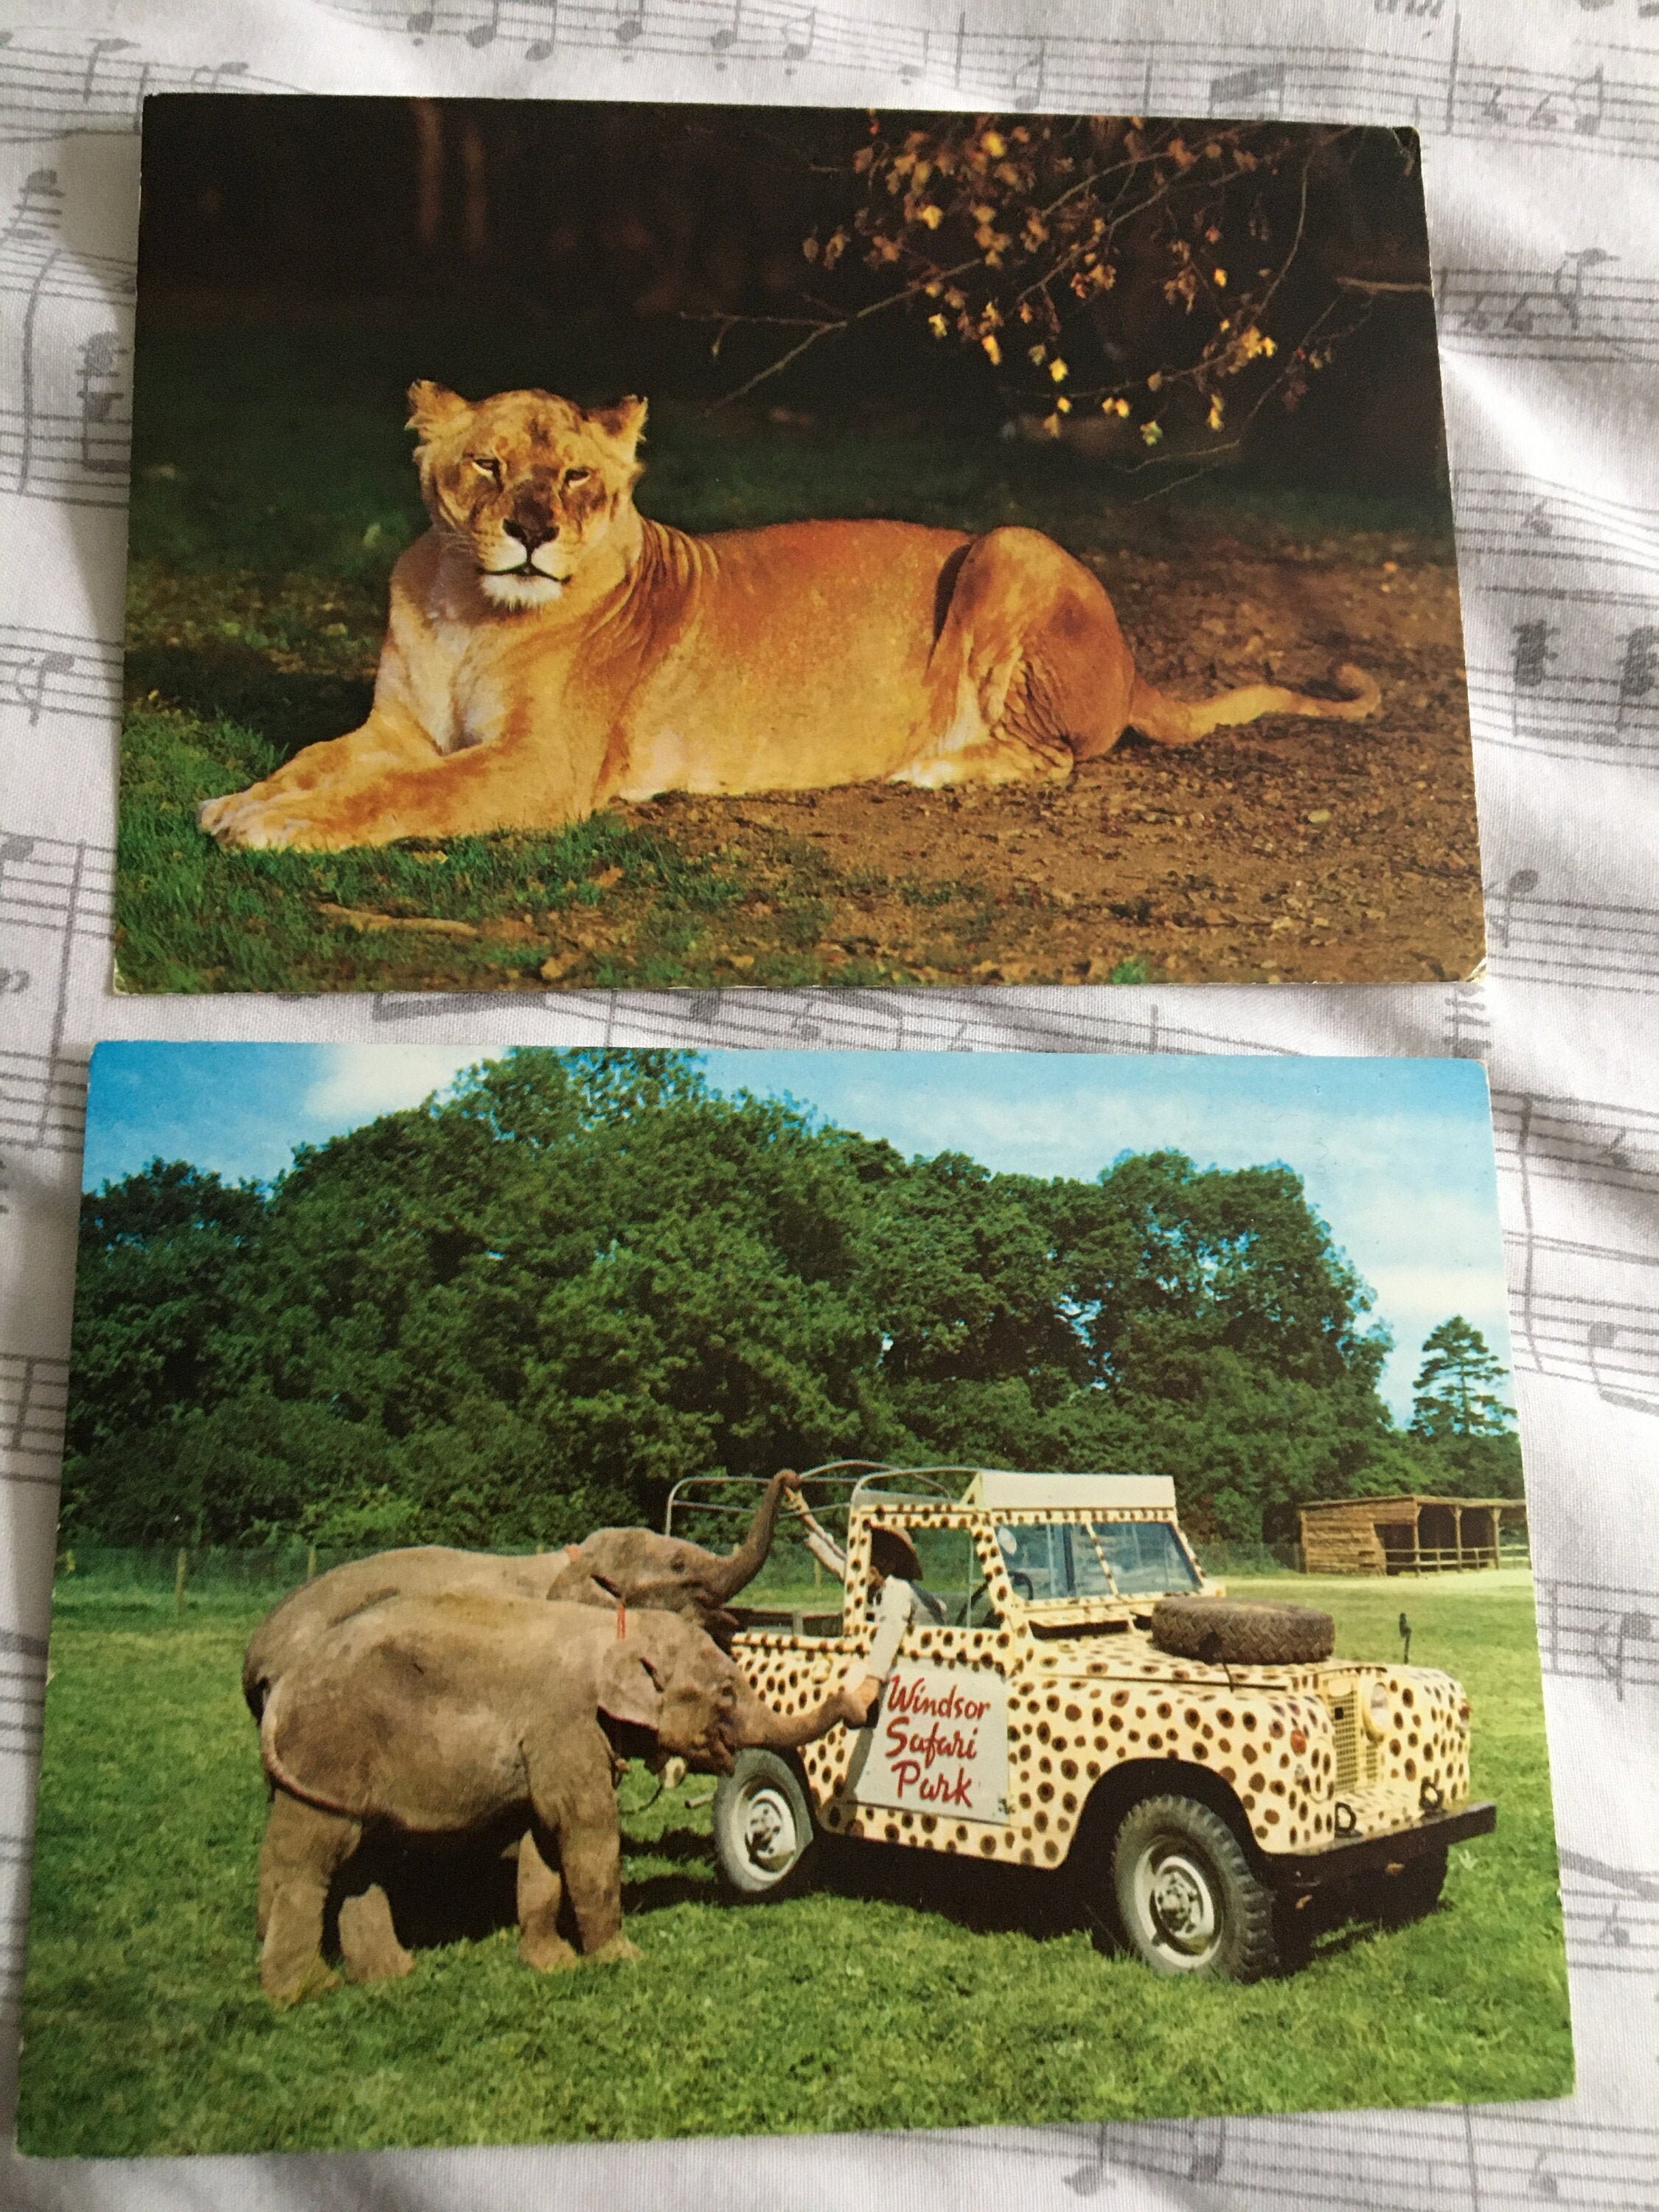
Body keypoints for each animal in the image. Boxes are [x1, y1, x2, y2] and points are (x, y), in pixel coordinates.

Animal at [197, 381, 1380, 853]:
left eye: (575, 477)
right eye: (487, 466)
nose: (531, 530)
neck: (465, 608)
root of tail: (1136, 666)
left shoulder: (541, 768)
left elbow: (404, 797)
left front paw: (275, 829)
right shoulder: (396, 724)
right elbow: (319, 760)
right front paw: (240, 800)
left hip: (1009, 543)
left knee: (1050, 756)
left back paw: (934, 765)